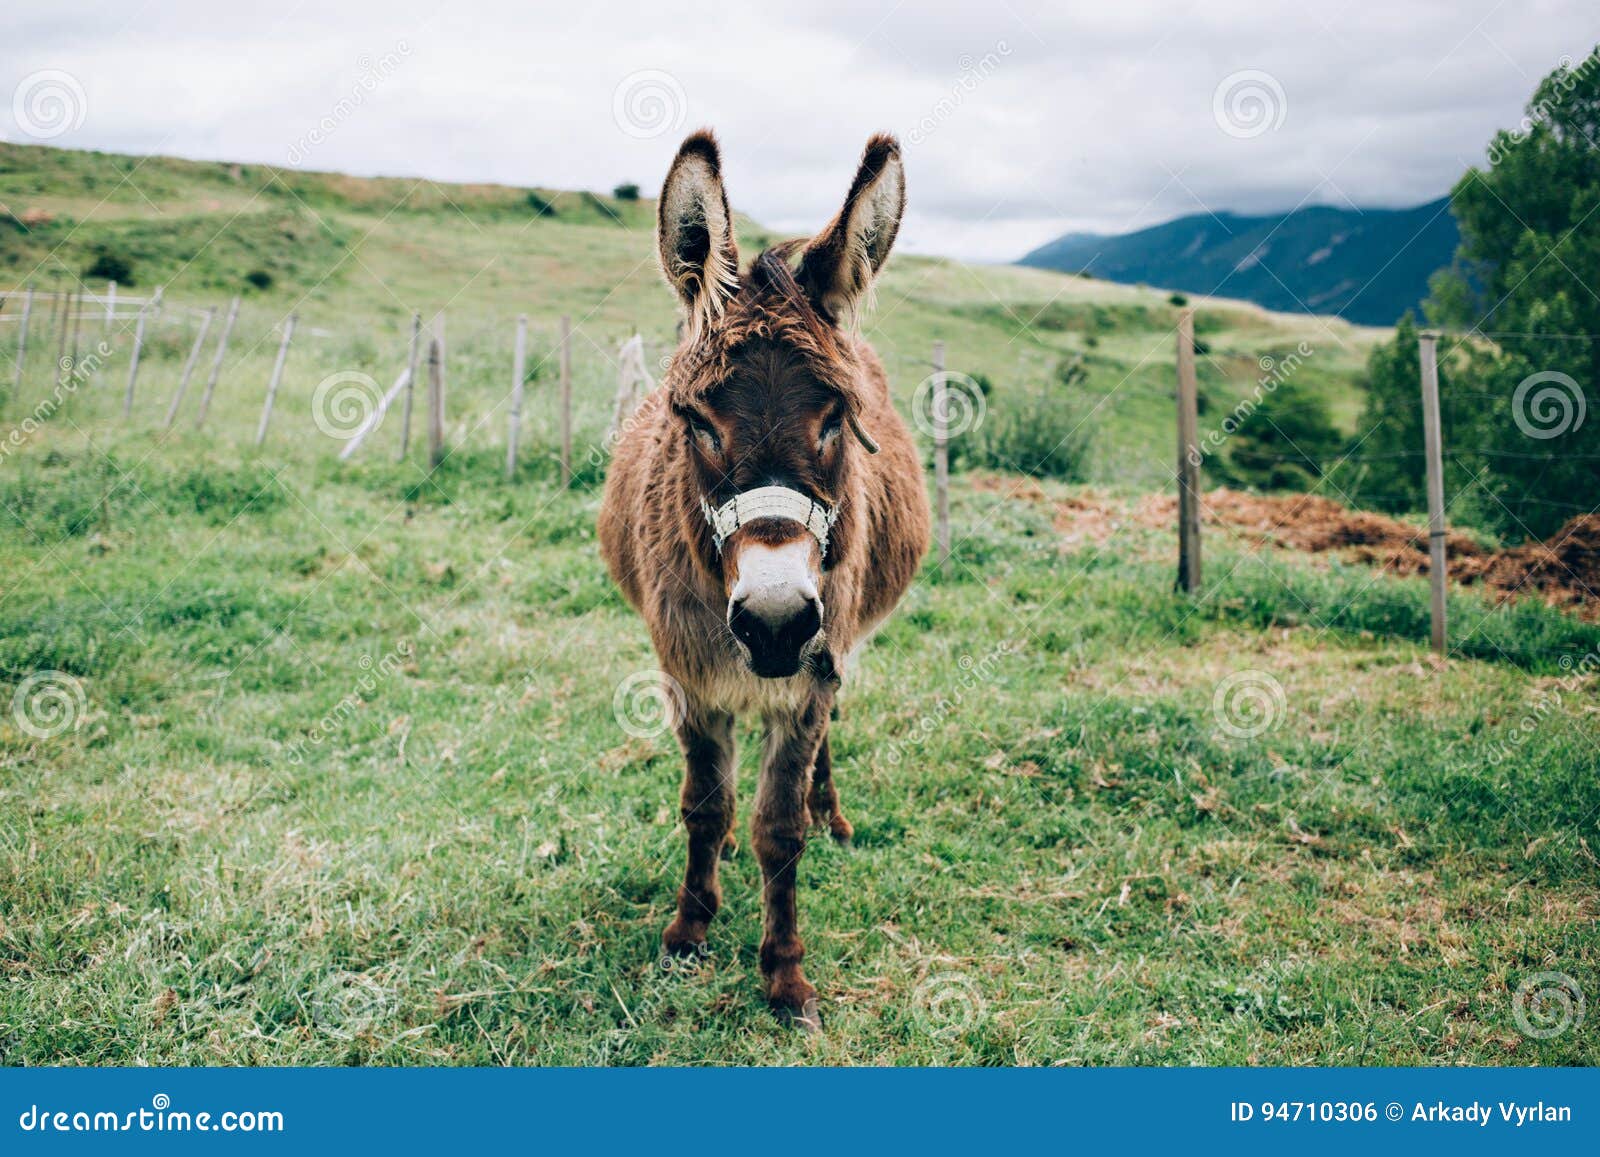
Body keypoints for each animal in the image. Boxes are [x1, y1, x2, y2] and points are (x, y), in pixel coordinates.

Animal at [599, 130, 929, 1030]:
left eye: (839, 419)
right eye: (696, 421)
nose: (777, 621)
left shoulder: (809, 677)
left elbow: (779, 830)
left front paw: (785, 976)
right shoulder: (688, 676)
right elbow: (704, 805)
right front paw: (688, 929)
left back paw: (832, 811)